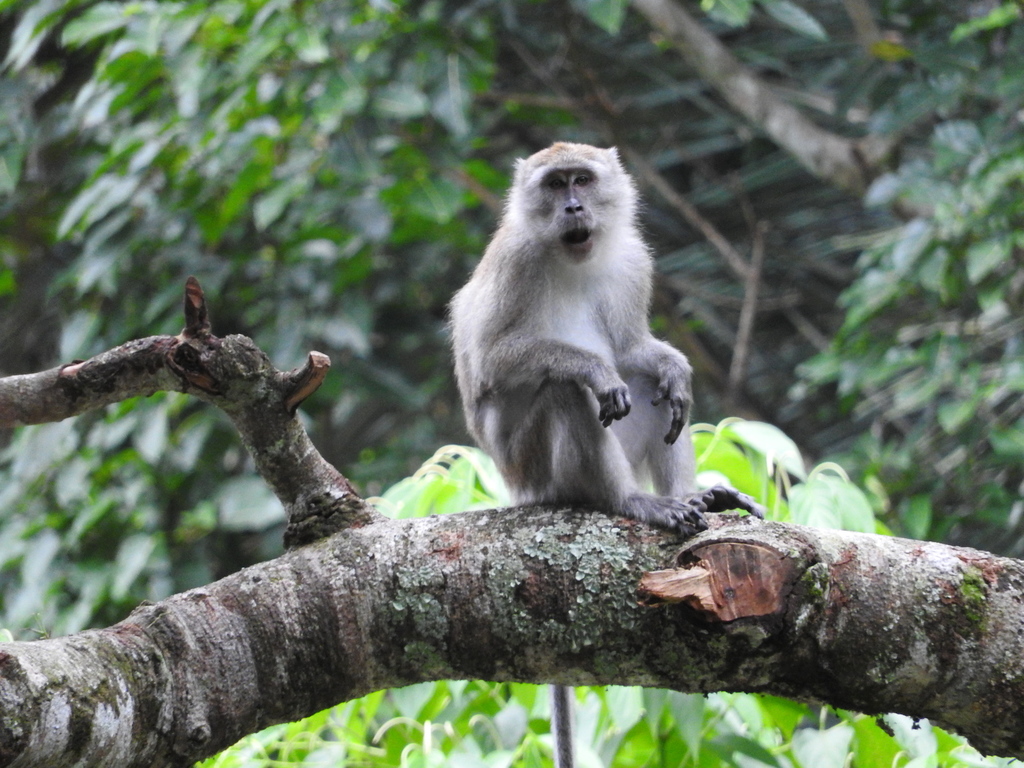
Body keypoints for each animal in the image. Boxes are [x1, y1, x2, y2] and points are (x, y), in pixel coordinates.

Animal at [449, 142, 762, 768]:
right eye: (554, 184)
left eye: (583, 181)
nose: (573, 207)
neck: (571, 258)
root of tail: (518, 489)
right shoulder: (515, 261)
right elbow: (493, 360)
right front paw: (593, 368)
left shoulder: (632, 261)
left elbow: (635, 351)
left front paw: (674, 366)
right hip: (537, 468)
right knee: (567, 391)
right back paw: (627, 500)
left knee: (651, 392)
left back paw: (692, 496)